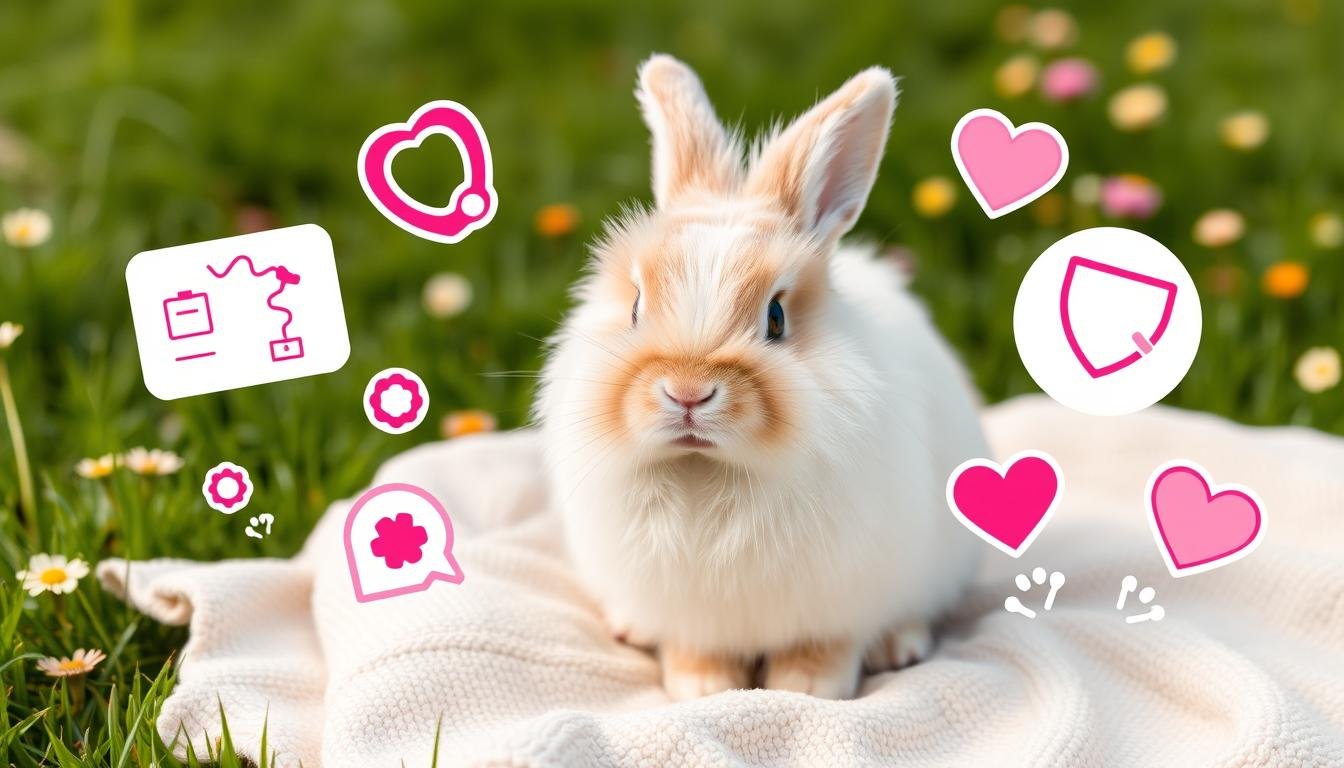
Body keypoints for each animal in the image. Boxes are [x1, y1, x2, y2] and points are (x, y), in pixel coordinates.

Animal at [535, 54, 987, 701]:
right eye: (636, 307)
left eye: (776, 318)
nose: (687, 392)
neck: (706, 468)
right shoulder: (689, 611)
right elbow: (697, 648)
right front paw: (703, 689)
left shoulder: (840, 598)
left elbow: (824, 644)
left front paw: (807, 688)